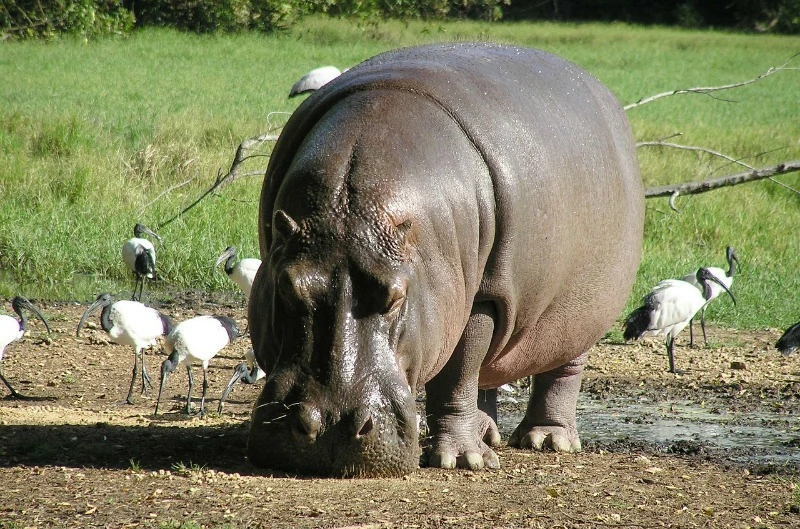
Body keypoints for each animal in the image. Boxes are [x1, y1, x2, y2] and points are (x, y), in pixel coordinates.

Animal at [247, 42, 644, 477]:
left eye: (397, 296)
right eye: (287, 286)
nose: (330, 426)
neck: (350, 210)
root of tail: (600, 90)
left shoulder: (484, 297)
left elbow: (457, 375)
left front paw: (463, 460)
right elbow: (466, 374)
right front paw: (472, 452)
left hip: (583, 312)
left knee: (559, 371)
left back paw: (548, 440)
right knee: (487, 373)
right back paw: (488, 435)